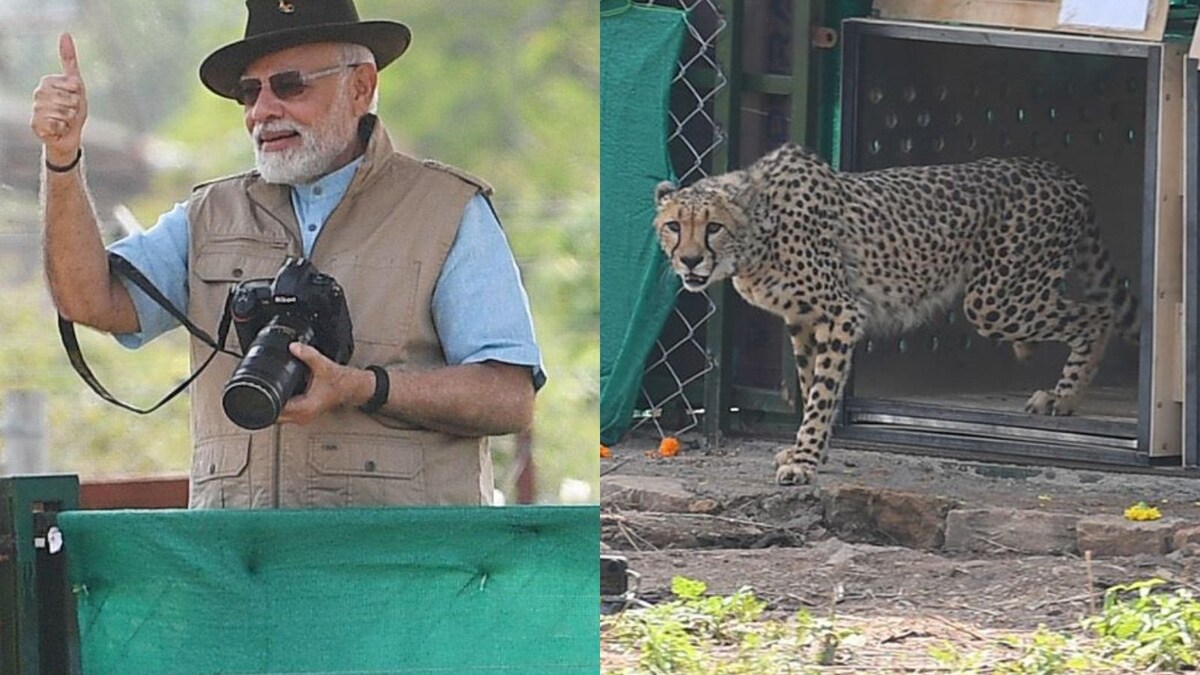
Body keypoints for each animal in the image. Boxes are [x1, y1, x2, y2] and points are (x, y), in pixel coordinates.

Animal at [653, 143, 1139, 486]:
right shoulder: (804, 320)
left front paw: (805, 460)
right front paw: (810, 451)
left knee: (1098, 314)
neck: (758, 233)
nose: (690, 261)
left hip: (995, 300)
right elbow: (812, 385)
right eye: (674, 226)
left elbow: (822, 392)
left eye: (713, 227)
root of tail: (1061, 173)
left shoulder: (839, 314)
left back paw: (1064, 396)